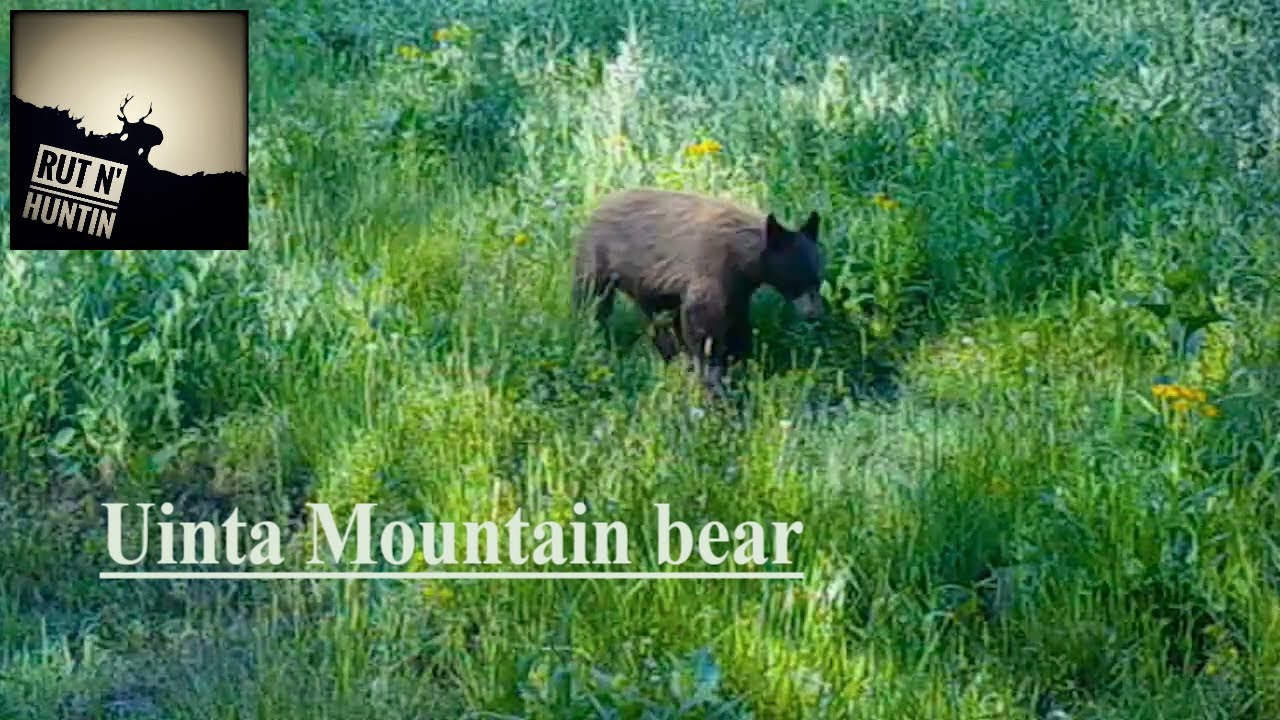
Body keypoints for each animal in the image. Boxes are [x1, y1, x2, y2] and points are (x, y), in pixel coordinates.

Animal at [572, 187, 824, 397]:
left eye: (818, 279)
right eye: (797, 279)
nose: (814, 314)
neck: (742, 255)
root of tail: (600, 205)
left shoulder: (738, 288)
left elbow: (737, 322)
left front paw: (739, 362)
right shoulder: (712, 269)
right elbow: (703, 323)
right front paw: (714, 374)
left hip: (653, 287)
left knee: (659, 321)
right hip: (598, 259)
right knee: (592, 301)